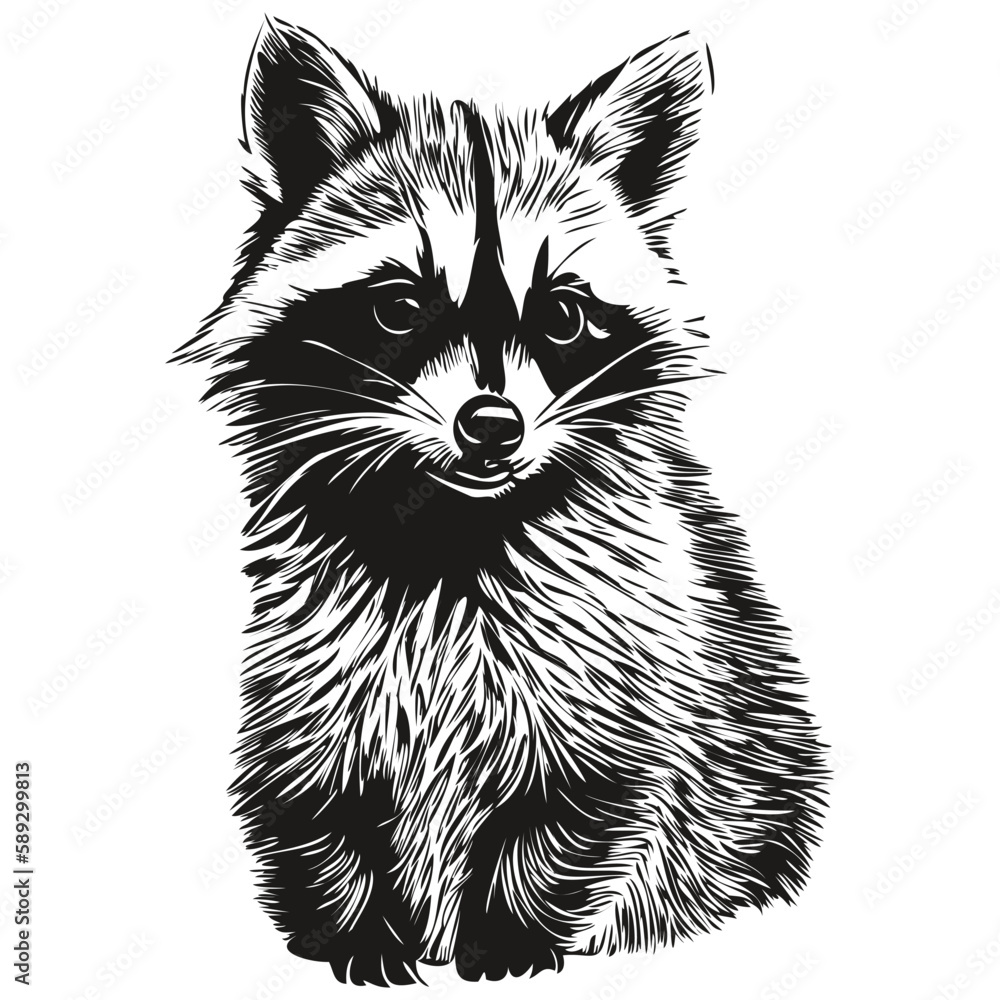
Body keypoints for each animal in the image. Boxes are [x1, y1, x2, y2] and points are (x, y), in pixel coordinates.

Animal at [175, 17, 826, 985]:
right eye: (399, 307)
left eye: (561, 316)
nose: (492, 427)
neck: (449, 525)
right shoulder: (318, 659)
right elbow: (314, 800)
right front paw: (358, 929)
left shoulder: (624, 647)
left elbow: (582, 799)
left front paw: (507, 933)